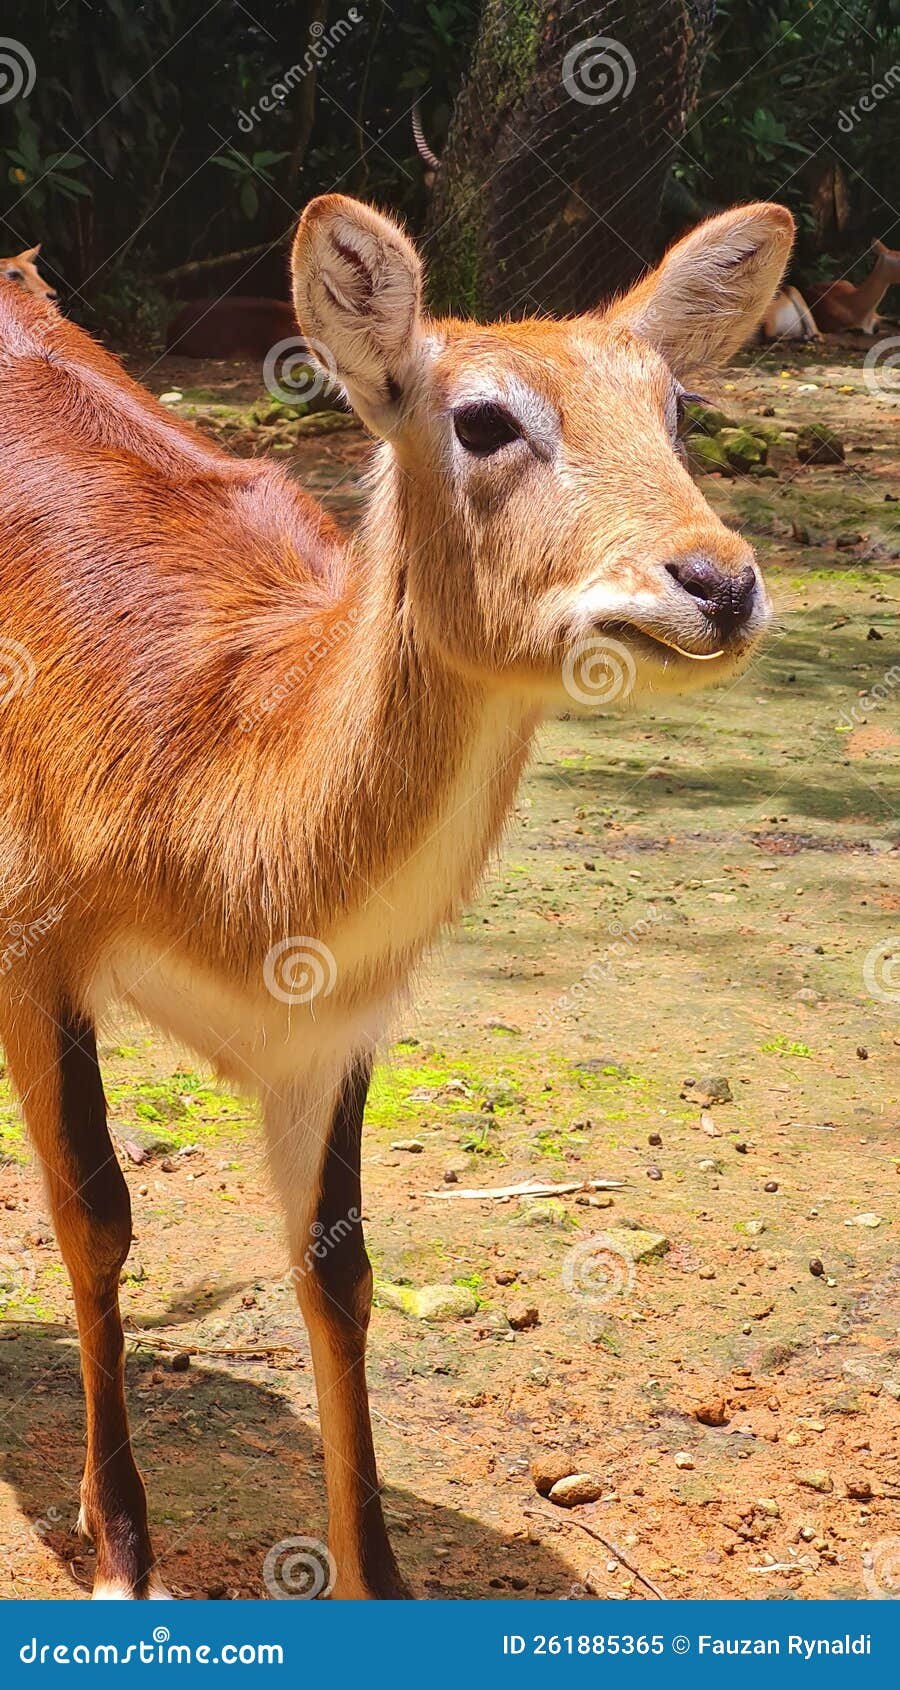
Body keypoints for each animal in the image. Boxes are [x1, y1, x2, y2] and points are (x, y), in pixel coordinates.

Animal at [0, 192, 792, 1600]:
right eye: (482, 418)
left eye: (680, 408)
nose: (718, 581)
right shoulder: (34, 951)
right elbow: (96, 1216)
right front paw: (122, 1552)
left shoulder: (338, 1026)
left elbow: (341, 1269)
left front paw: (379, 1576)